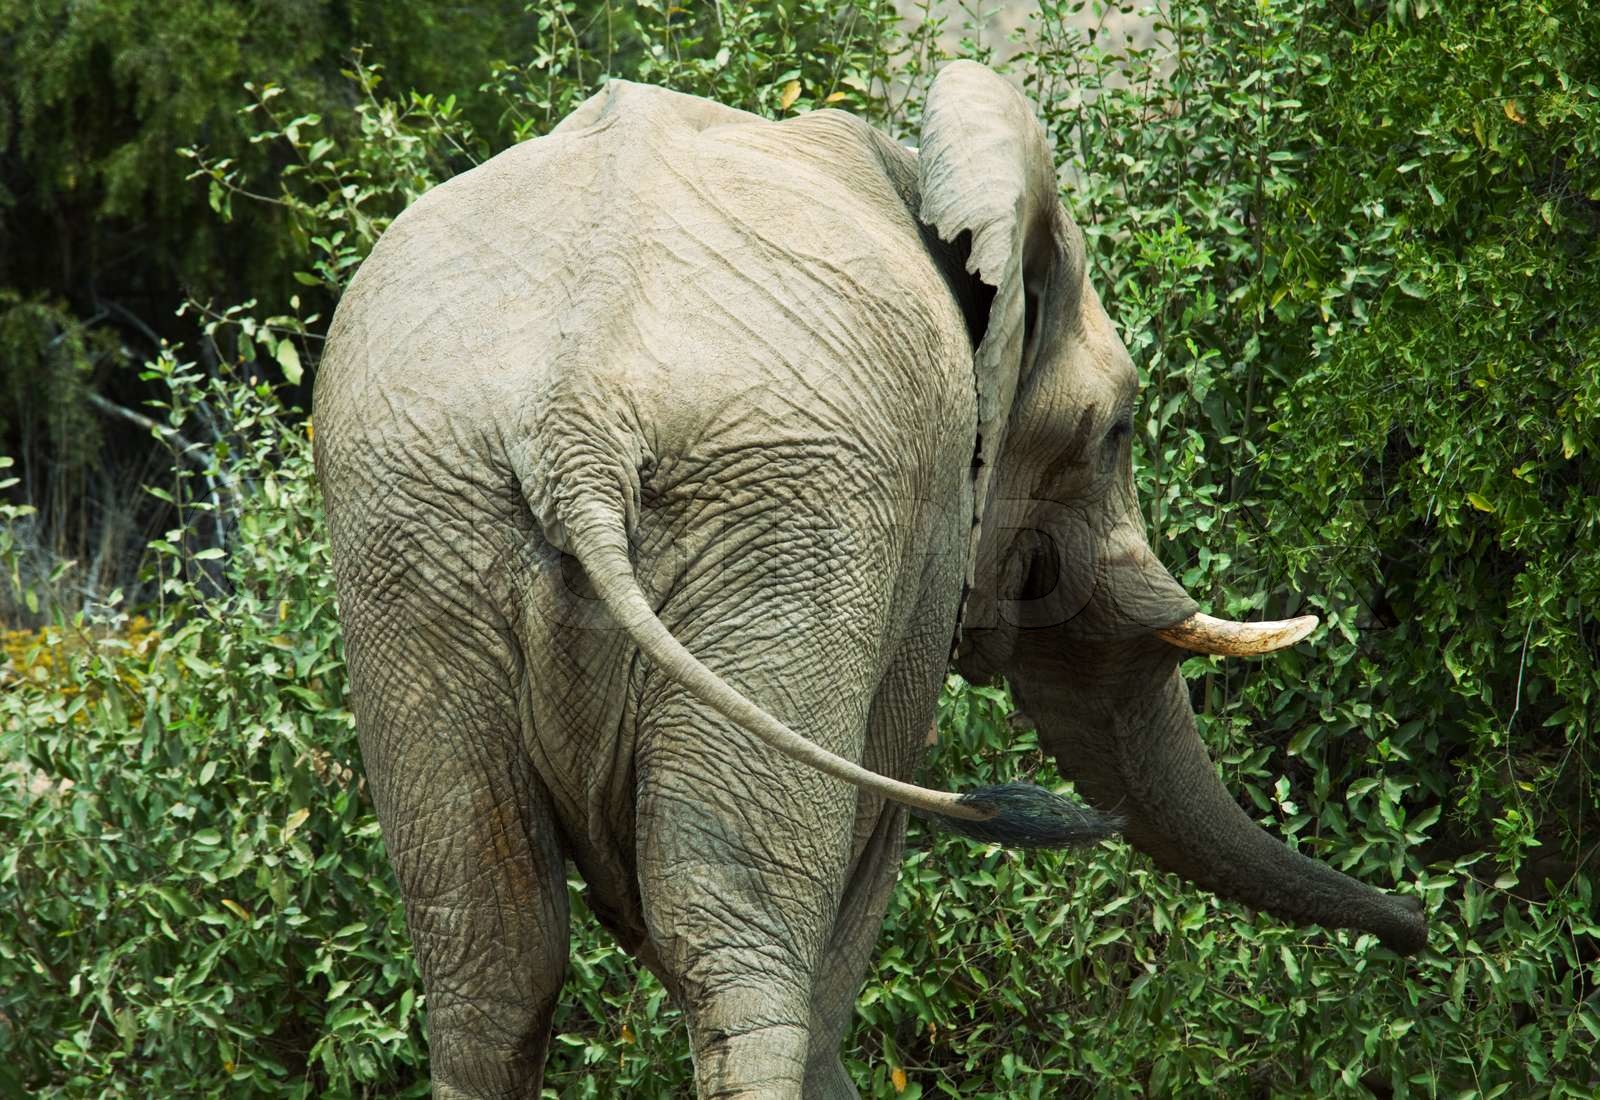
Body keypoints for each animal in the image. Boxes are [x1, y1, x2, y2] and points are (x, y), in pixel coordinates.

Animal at [313, 60, 1426, 1099]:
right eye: (1117, 430)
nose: (1416, 926)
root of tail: (572, 422)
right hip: (779, 516)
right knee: (739, 935)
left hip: (415, 537)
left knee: (492, 958)